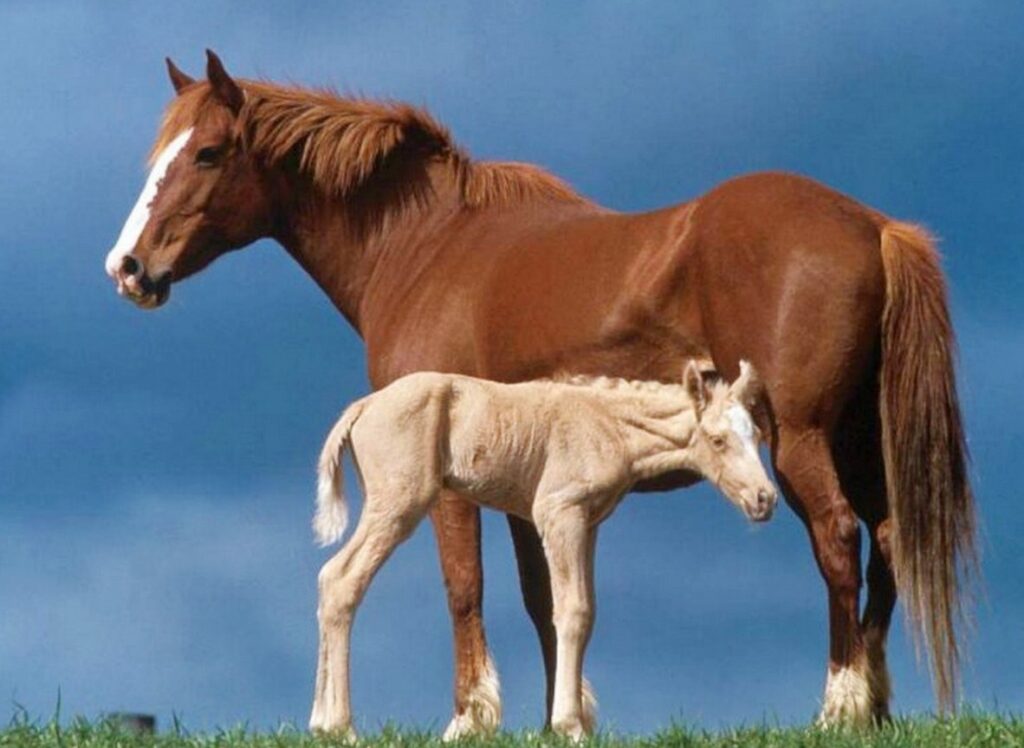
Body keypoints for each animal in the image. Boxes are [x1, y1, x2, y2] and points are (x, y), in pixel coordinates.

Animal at [310, 362, 776, 739]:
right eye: (717, 440)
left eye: (755, 434)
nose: (764, 499)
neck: (609, 425)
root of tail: (363, 407)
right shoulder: (558, 512)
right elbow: (571, 611)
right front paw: (570, 726)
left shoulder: (588, 523)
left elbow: (587, 612)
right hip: (399, 503)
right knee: (344, 580)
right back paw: (343, 728)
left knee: (328, 577)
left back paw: (320, 722)